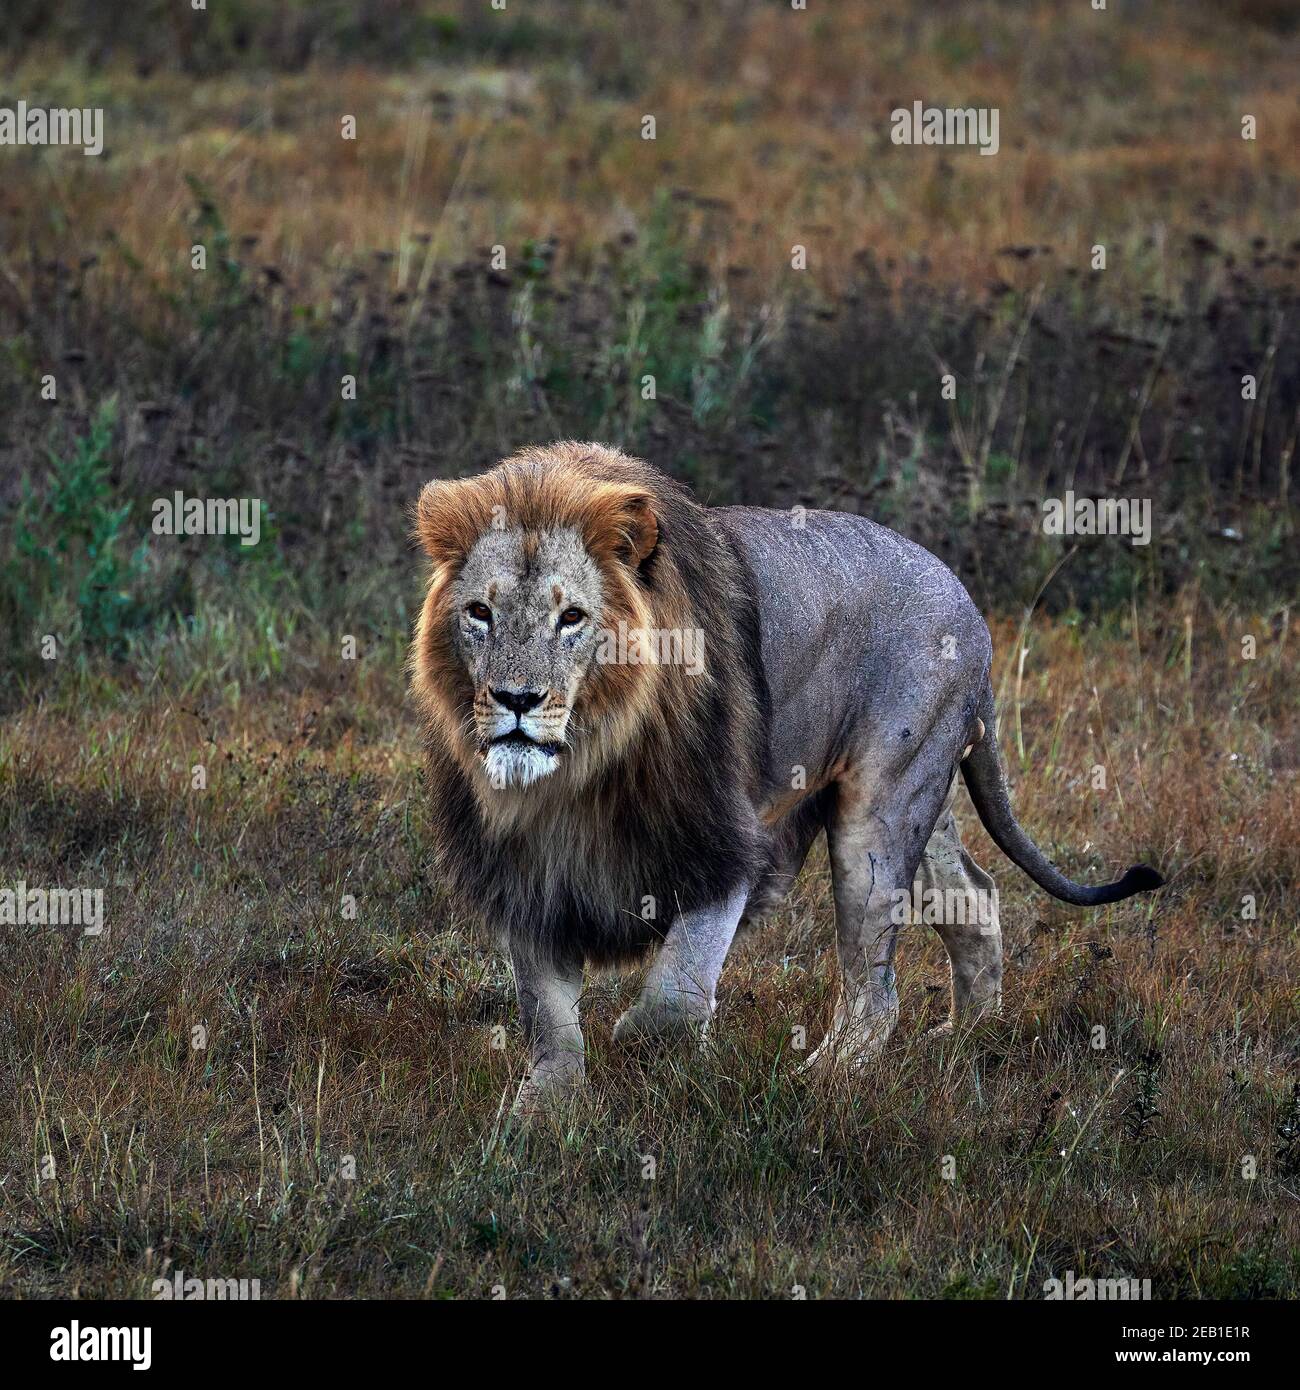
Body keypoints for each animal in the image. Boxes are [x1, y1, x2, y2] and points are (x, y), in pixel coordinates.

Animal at [410, 442, 1162, 1111]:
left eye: (572, 617)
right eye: (480, 612)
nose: (517, 699)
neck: (582, 772)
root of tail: (969, 608)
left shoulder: (726, 843)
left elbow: (674, 994)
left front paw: (648, 1048)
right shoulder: (525, 867)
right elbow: (547, 1011)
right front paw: (543, 1112)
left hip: (879, 812)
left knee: (875, 989)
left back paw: (826, 1080)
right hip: (929, 795)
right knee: (974, 898)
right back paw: (968, 1038)